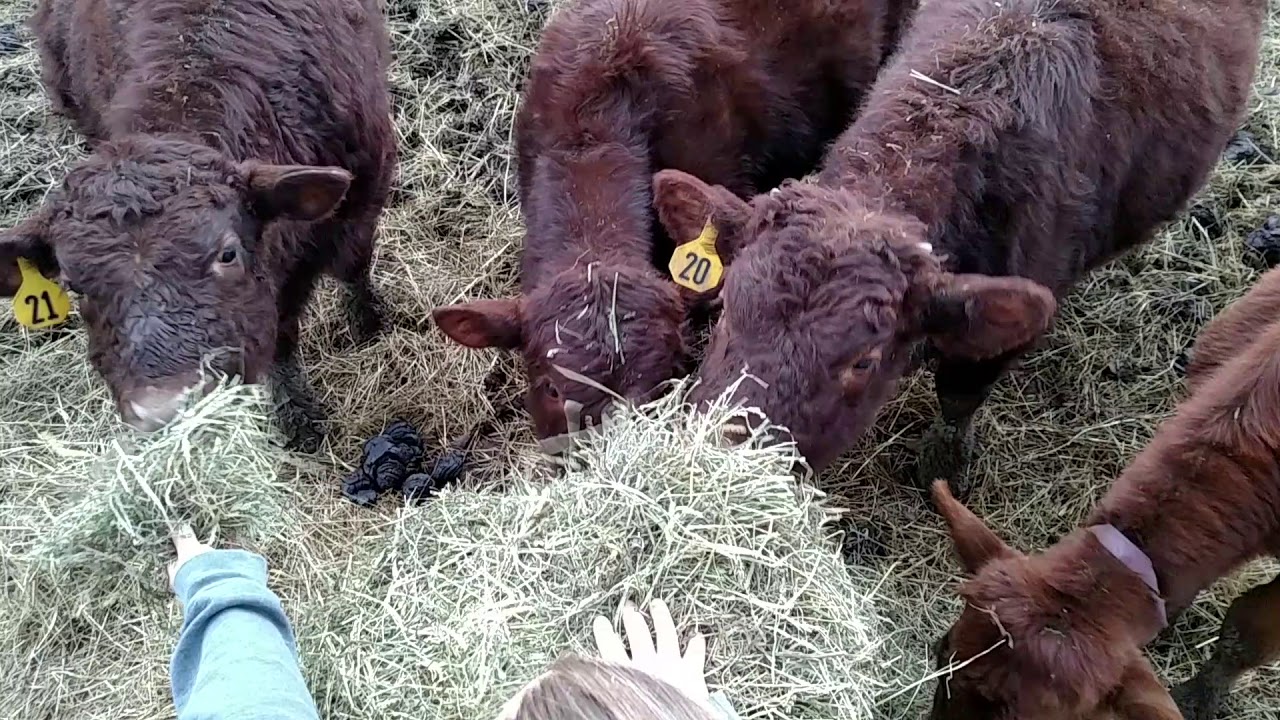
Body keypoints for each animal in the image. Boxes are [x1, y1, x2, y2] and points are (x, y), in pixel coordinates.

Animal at [0, 0, 397, 451]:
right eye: (73, 283)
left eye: (227, 253)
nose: (165, 410)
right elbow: (279, 337)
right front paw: (296, 419)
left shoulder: (364, 193)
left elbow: (352, 269)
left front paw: (369, 326)